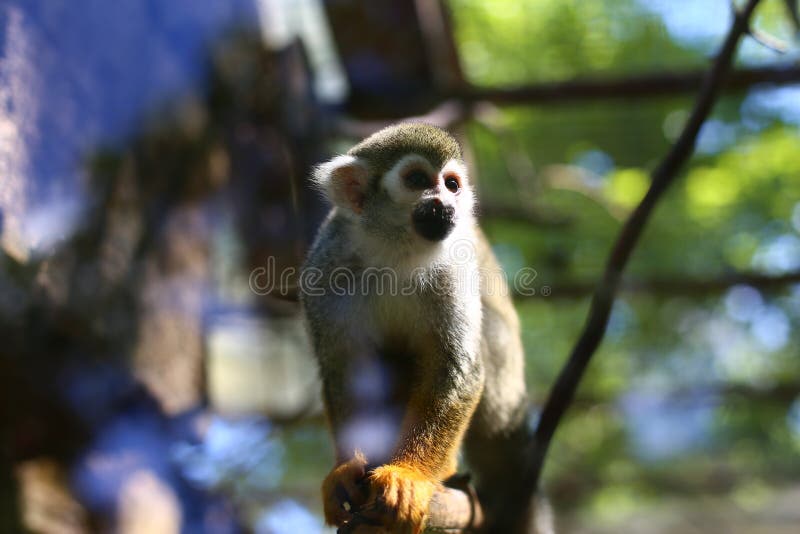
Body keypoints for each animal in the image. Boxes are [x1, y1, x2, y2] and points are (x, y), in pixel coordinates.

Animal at [300, 123, 534, 533]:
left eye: (452, 184)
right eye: (417, 180)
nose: (445, 203)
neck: (396, 250)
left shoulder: (454, 267)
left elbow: (455, 369)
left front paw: (410, 476)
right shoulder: (328, 262)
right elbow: (344, 365)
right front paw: (345, 469)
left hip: (504, 387)